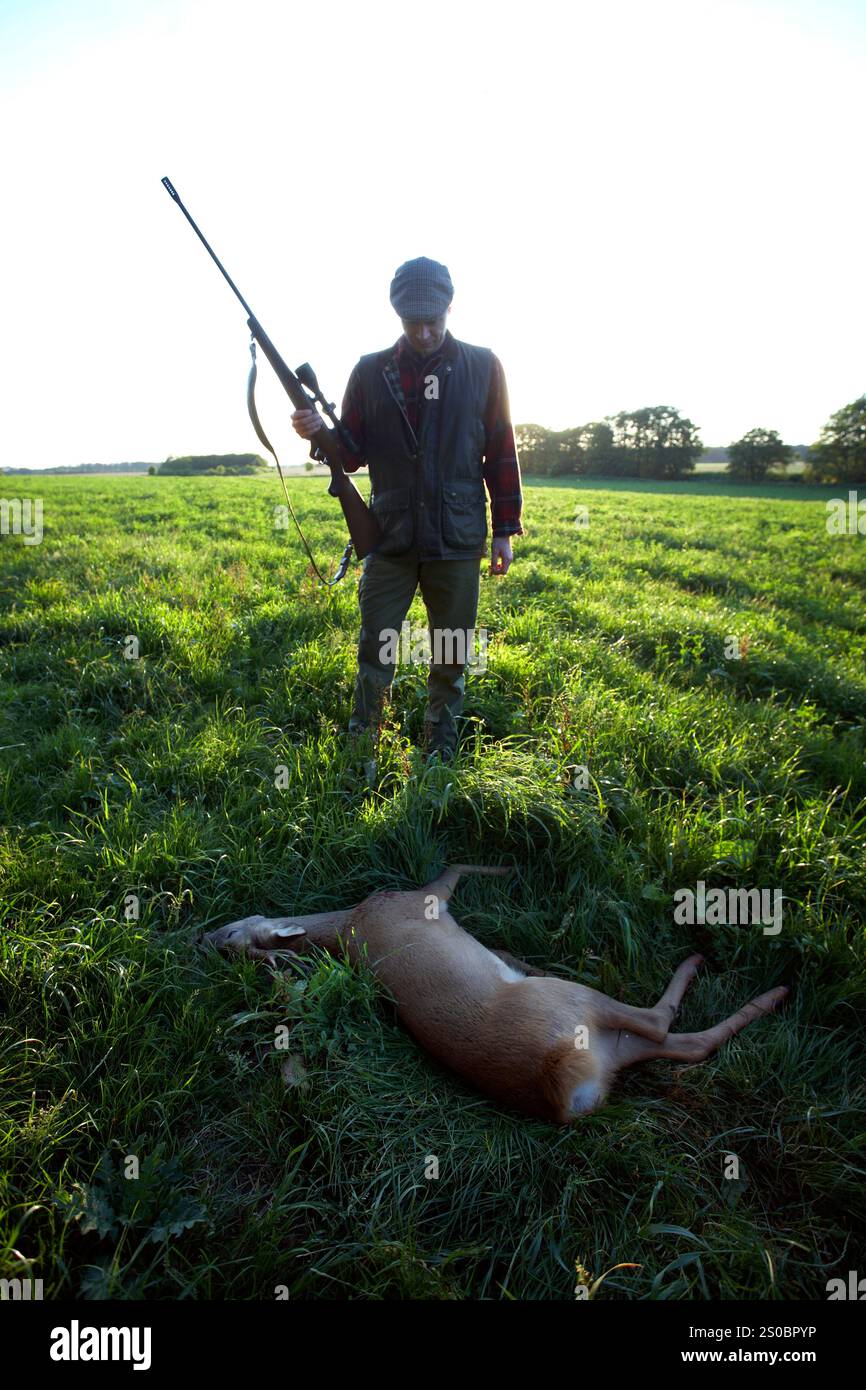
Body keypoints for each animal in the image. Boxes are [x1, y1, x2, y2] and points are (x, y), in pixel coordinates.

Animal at [203, 864, 789, 1124]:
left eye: (230, 935)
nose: (201, 938)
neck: (348, 924)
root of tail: (561, 1097)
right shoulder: (423, 898)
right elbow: (454, 867)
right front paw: (509, 867)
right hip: (568, 1002)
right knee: (660, 1021)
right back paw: (736, 975)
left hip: (613, 1048)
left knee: (688, 1045)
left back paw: (765, 993)